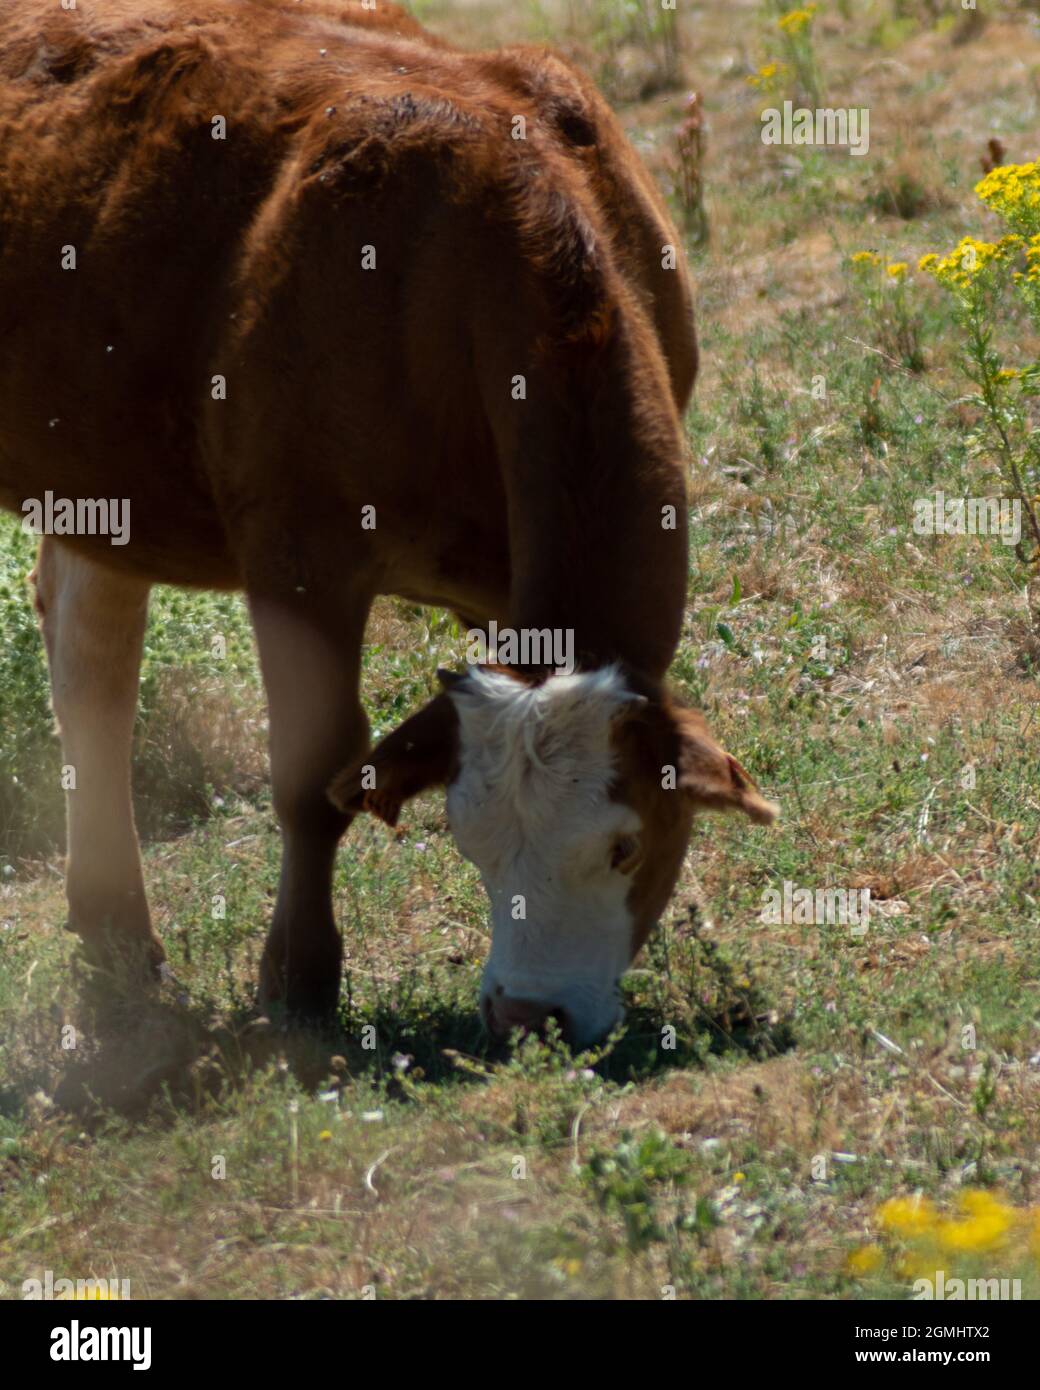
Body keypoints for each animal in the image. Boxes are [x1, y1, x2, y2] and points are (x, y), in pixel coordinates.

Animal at [0, 0, 777, 1048]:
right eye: (469, 840)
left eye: (625, 847)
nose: (526, 1012)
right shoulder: (299, 557)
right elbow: (313, 772)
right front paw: (297, 981)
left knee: (92, 660)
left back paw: (117, 935)